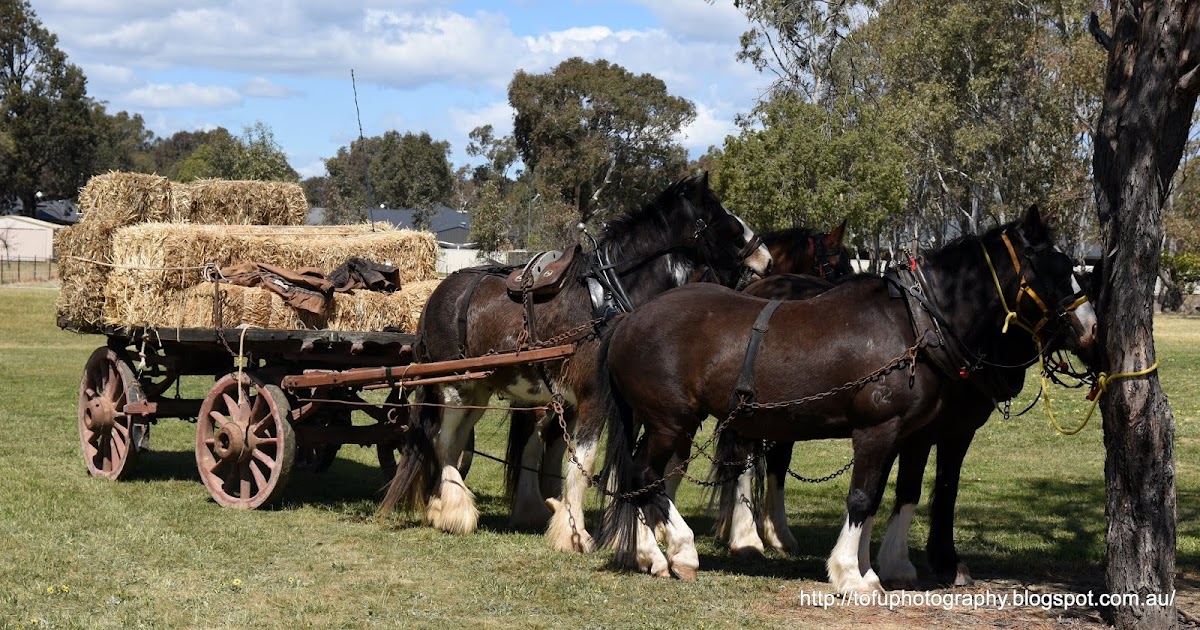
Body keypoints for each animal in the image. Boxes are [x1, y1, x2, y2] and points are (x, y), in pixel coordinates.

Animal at [378, 172, 773, 536]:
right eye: (723, 218)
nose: (766, 259)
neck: (609, 298)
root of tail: (436, 293)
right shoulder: (593, 397)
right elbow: (584, 463)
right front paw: (574, 533)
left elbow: (617, 466)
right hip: (453, 387)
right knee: (442, 441)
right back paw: (457, 511)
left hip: (479, 388)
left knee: (456, 440)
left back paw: (441, 506)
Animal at [594, 206, 1098, 589]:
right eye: (1051, 271)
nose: (1091, 328)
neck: (916, 325)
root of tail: (629, 319)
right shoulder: (880, 430)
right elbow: (860, 498)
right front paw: (851, 576)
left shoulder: (907, 434)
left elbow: (886, 496)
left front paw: (872, 568)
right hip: (670, 422)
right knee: (644, 474)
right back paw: (681, 550)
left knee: (641, 477)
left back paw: (651, 554)